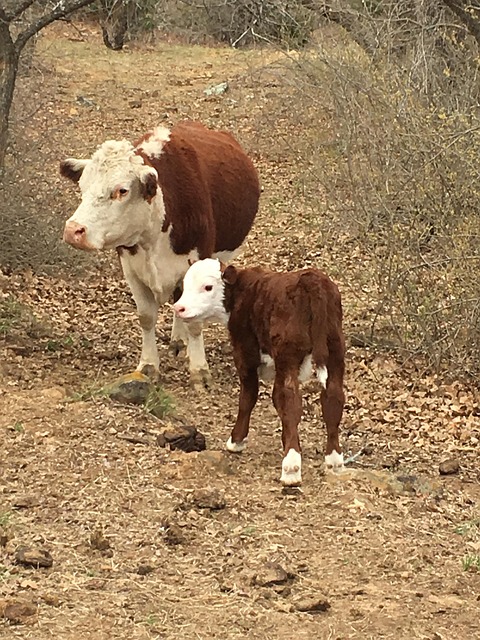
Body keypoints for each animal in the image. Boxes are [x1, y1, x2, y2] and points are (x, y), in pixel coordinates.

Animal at [60, 122, 260, 388]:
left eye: (122, 190)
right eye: (82, 187)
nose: (73, 231)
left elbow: (195, 323)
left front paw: (199, 370)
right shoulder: (131, 268)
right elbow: (146, 317)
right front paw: (148, 365)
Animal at [173, 258, 346, 486]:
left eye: (208, 287)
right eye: (185, 285)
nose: (179, 308)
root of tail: (312, 280)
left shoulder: (245, 352)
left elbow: (249, 396)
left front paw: (236, 441)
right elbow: (276, 398)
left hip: (288, 353)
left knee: (292, 400)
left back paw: (291, 467)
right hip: (335, 351)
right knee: (333, 398)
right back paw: (334, 460)